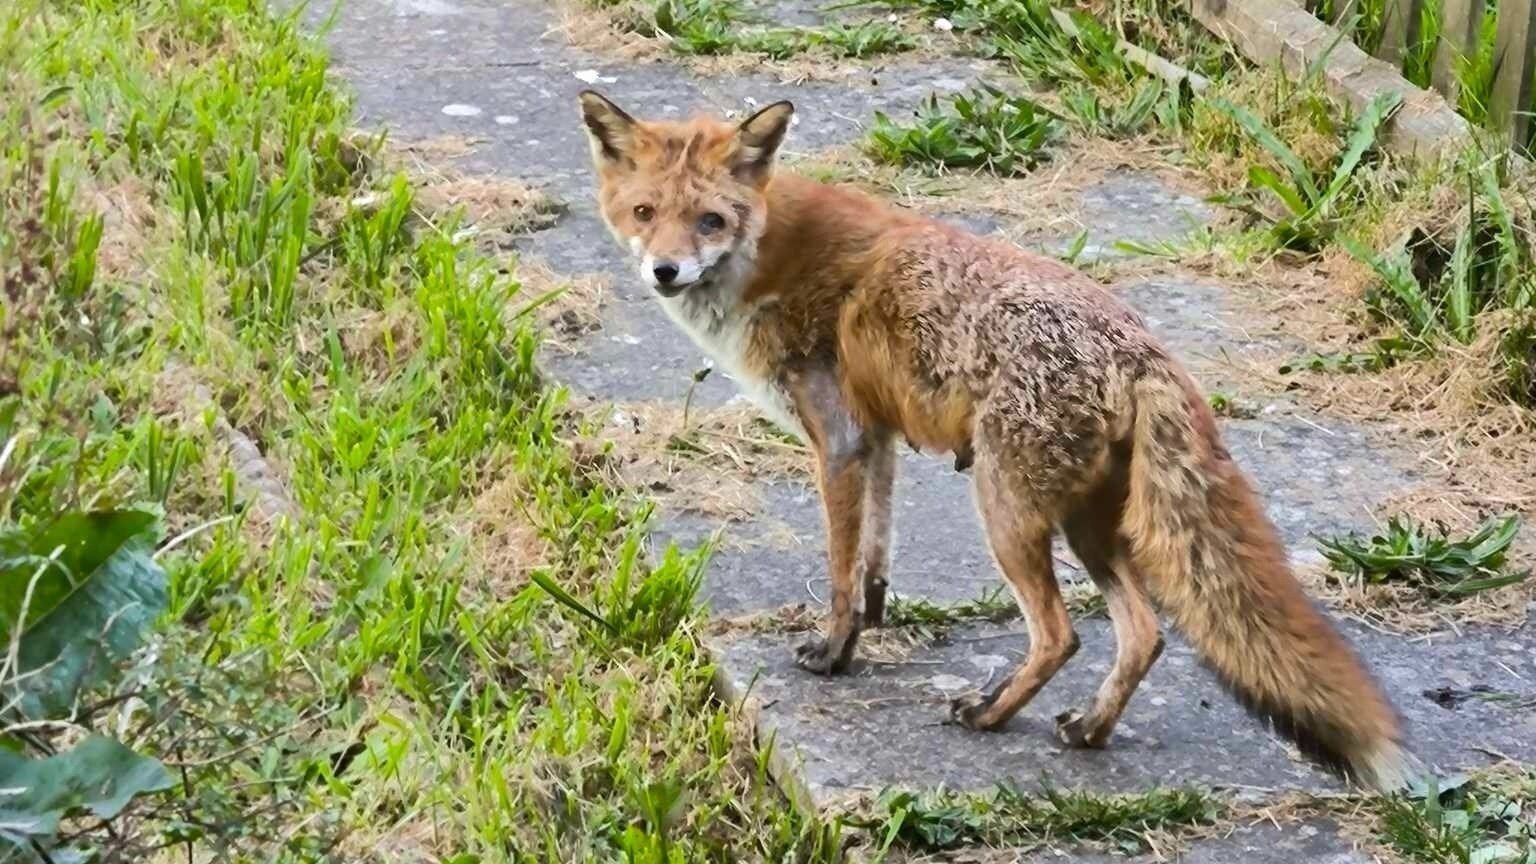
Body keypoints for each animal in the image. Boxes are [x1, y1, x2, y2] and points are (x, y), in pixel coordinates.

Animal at [575, 89, 1423, 793]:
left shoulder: (839, 441)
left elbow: (842, 569)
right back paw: (1088, 730)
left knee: (1061, 636)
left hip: (1007, 511)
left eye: (709, 221)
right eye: (645, 212)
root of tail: (1144, 348)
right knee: (1143, 635)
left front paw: (835, 651)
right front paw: (873, 624)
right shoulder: (877, 439)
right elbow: (875, 553)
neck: (767, 257)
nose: (665, 270)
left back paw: (990, 714)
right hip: (1088, 527)